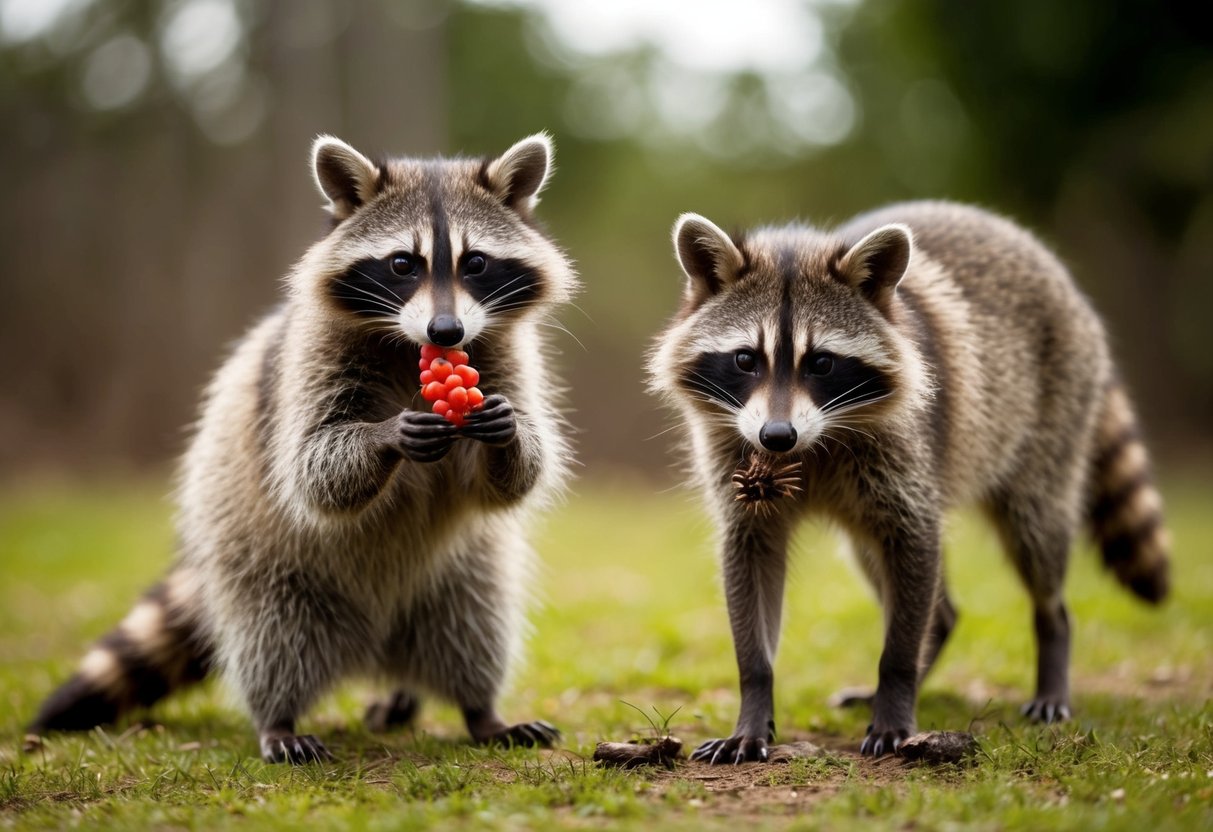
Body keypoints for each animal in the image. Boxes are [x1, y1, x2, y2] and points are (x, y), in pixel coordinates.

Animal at [28, 133, 578, 763]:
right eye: (402, 264)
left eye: (477, 263)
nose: (446, 331)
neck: (408, 345)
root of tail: (376, 644)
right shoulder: (307, 359)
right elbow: (313, 469)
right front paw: (383, 435)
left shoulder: (503, 351)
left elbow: (512, 479)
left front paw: (510, 434)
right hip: (259, 559)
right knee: (271, 638)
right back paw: (279, 717)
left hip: (461, 575)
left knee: (475, 627)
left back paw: (480, 711)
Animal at [651, 201, 1170, 762]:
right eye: (746, 359)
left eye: (822, 362)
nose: (777, 436)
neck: (815, 444)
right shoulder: (738, 470)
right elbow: (749, 565)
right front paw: (753, 703)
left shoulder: (908, 458)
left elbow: (915, 547)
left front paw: (897, 689)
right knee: (900, 580)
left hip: (1053, 421)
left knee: (1037, 536)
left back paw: (1050, 641)